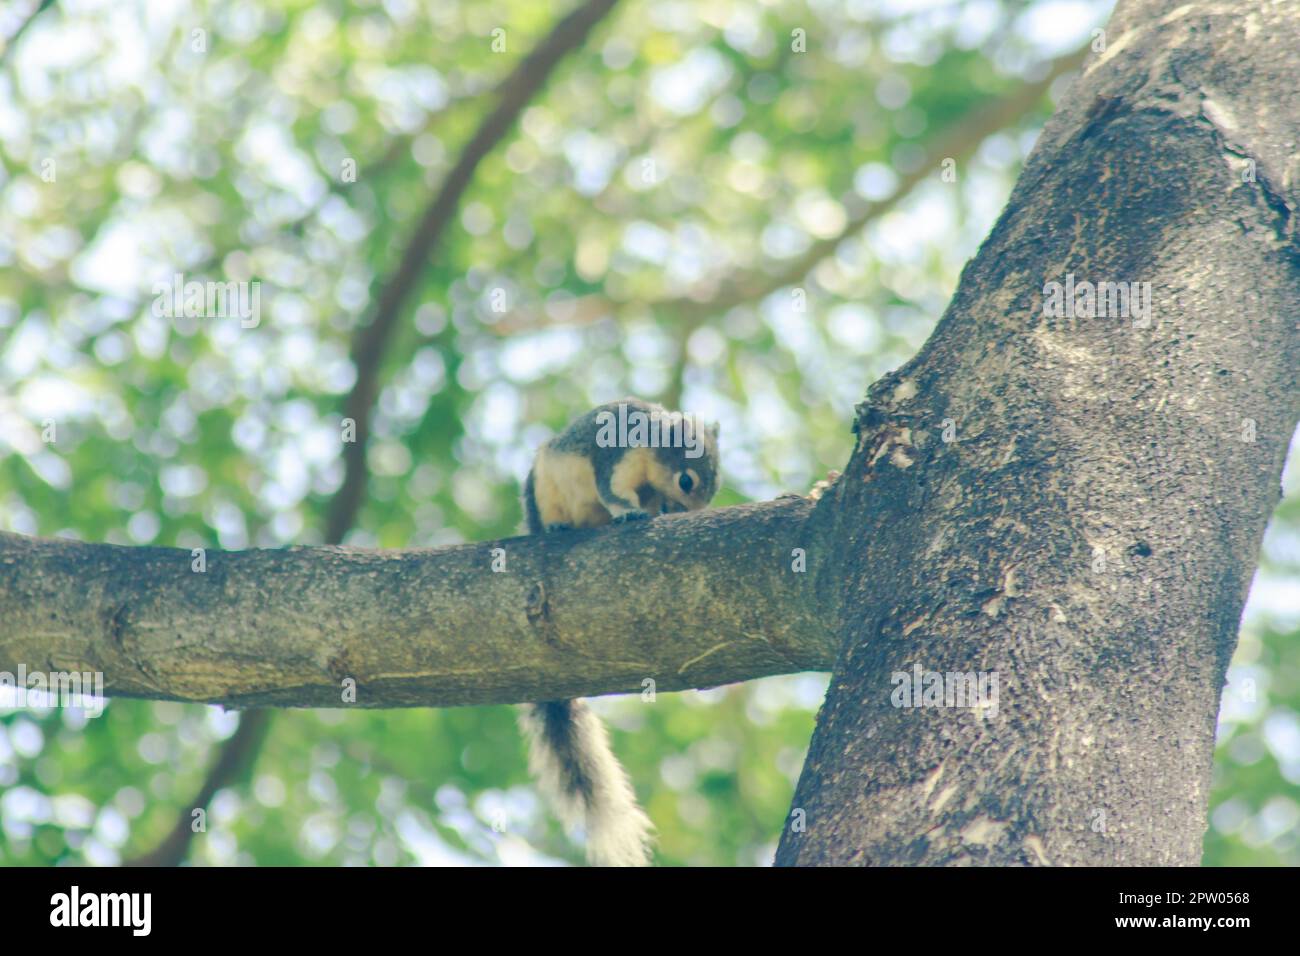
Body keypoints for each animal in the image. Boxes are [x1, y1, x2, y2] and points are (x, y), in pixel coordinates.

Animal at [519, 397, 720, 866]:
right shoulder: (615, 457)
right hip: (543, 485)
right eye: (687, 480)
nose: (681, 513)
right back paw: (556, 527)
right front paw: (629, 511)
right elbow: (612, 491)